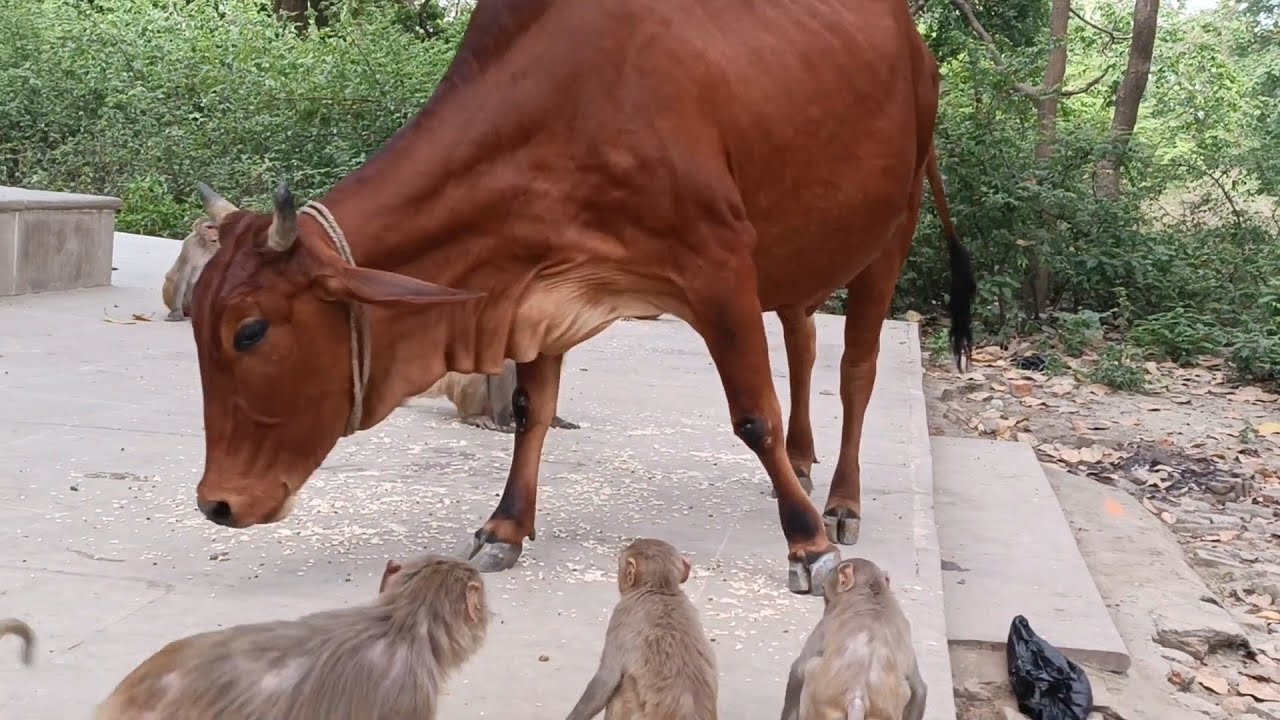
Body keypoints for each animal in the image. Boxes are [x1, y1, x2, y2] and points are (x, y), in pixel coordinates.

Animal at [186, 0, 975, 596]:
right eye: (196, 319)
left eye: (251, 332)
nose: (216, 503)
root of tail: (913, 41)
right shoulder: (541, 285)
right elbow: (532, 410)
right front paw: (503, 528)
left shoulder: (719, 267)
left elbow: (755, 416)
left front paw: (808, 546)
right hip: (801, 252)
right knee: (805, 341)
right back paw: (808, 466)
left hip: (891, 231)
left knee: (857, 370)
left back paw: (839, 501)